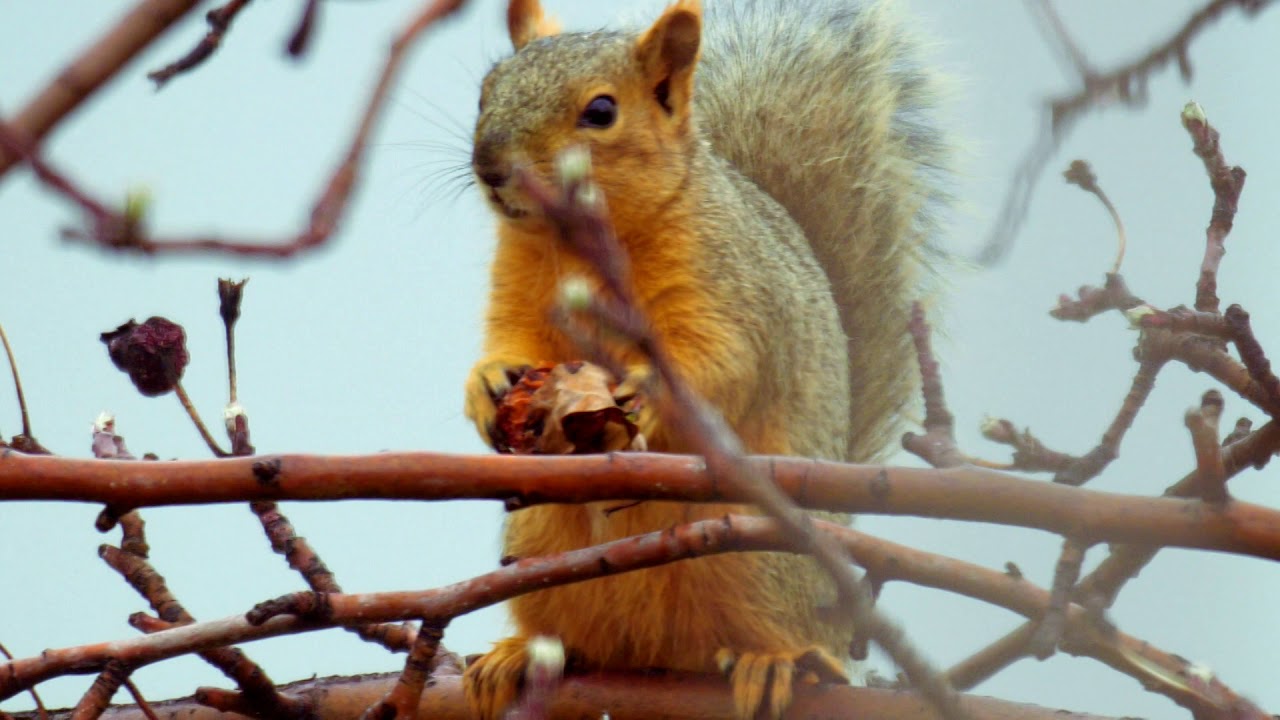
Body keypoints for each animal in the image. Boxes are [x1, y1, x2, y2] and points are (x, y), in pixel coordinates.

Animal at [461, 0, 948, 717]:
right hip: (539, 545)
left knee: (787, 633)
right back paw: (520, 656)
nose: (492, 166)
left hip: (762, 559)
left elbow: (721, 361)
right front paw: (484, 383)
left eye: (601, 111)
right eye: (484, 92)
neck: (580, 245)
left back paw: (779, 663)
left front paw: (647, 392)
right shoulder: (519, 291)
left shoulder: (724, 286)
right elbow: (509, 341)